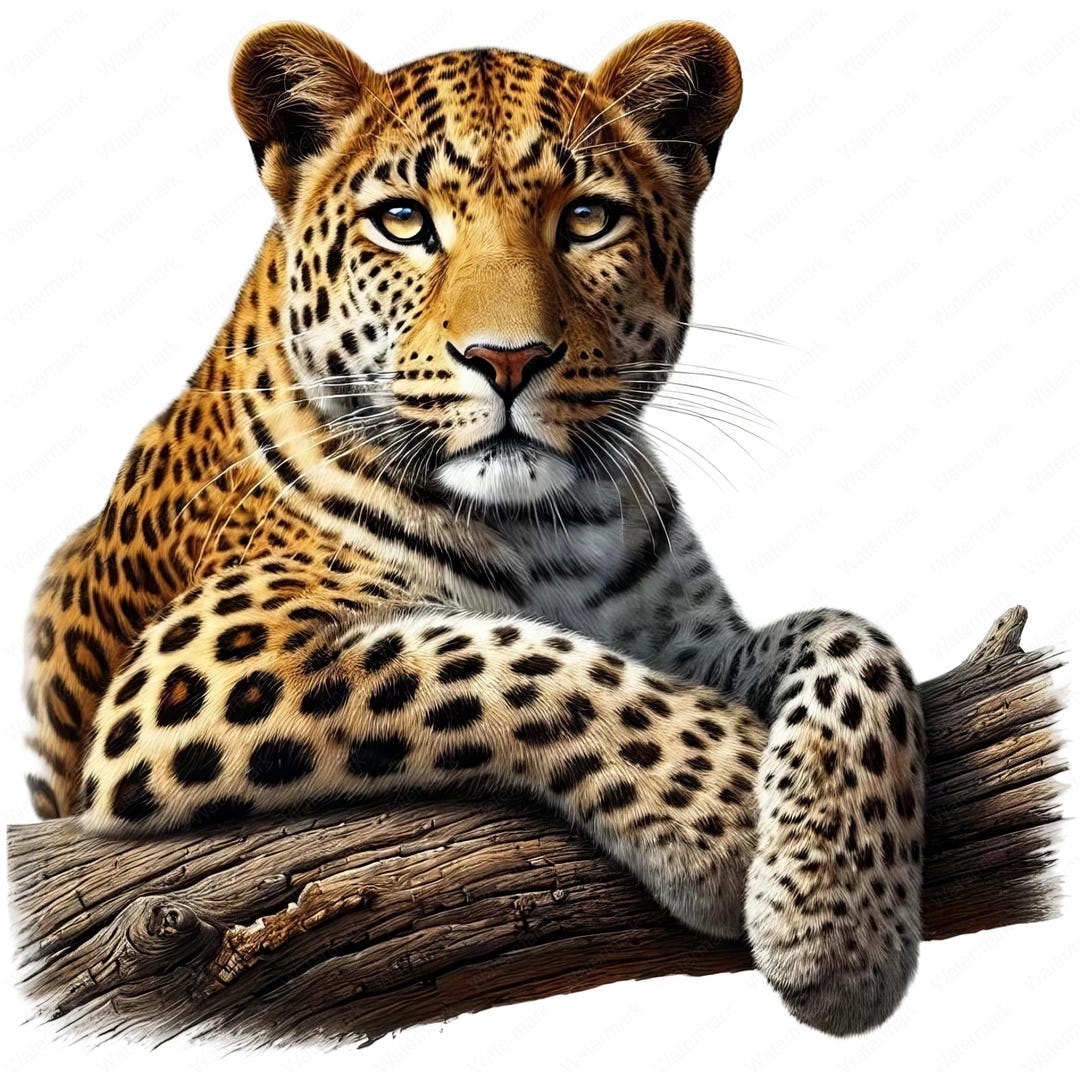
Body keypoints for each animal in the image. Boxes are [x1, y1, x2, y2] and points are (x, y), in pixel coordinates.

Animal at [22, 20, 925, 1037]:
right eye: (404, 221)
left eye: (586, 219)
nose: (509, 360)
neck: (552, 524)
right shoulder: (196, 665)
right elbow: (501, 653)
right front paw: (725, 806)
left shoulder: (691, 642)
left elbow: (850, 641)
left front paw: (844, 926)